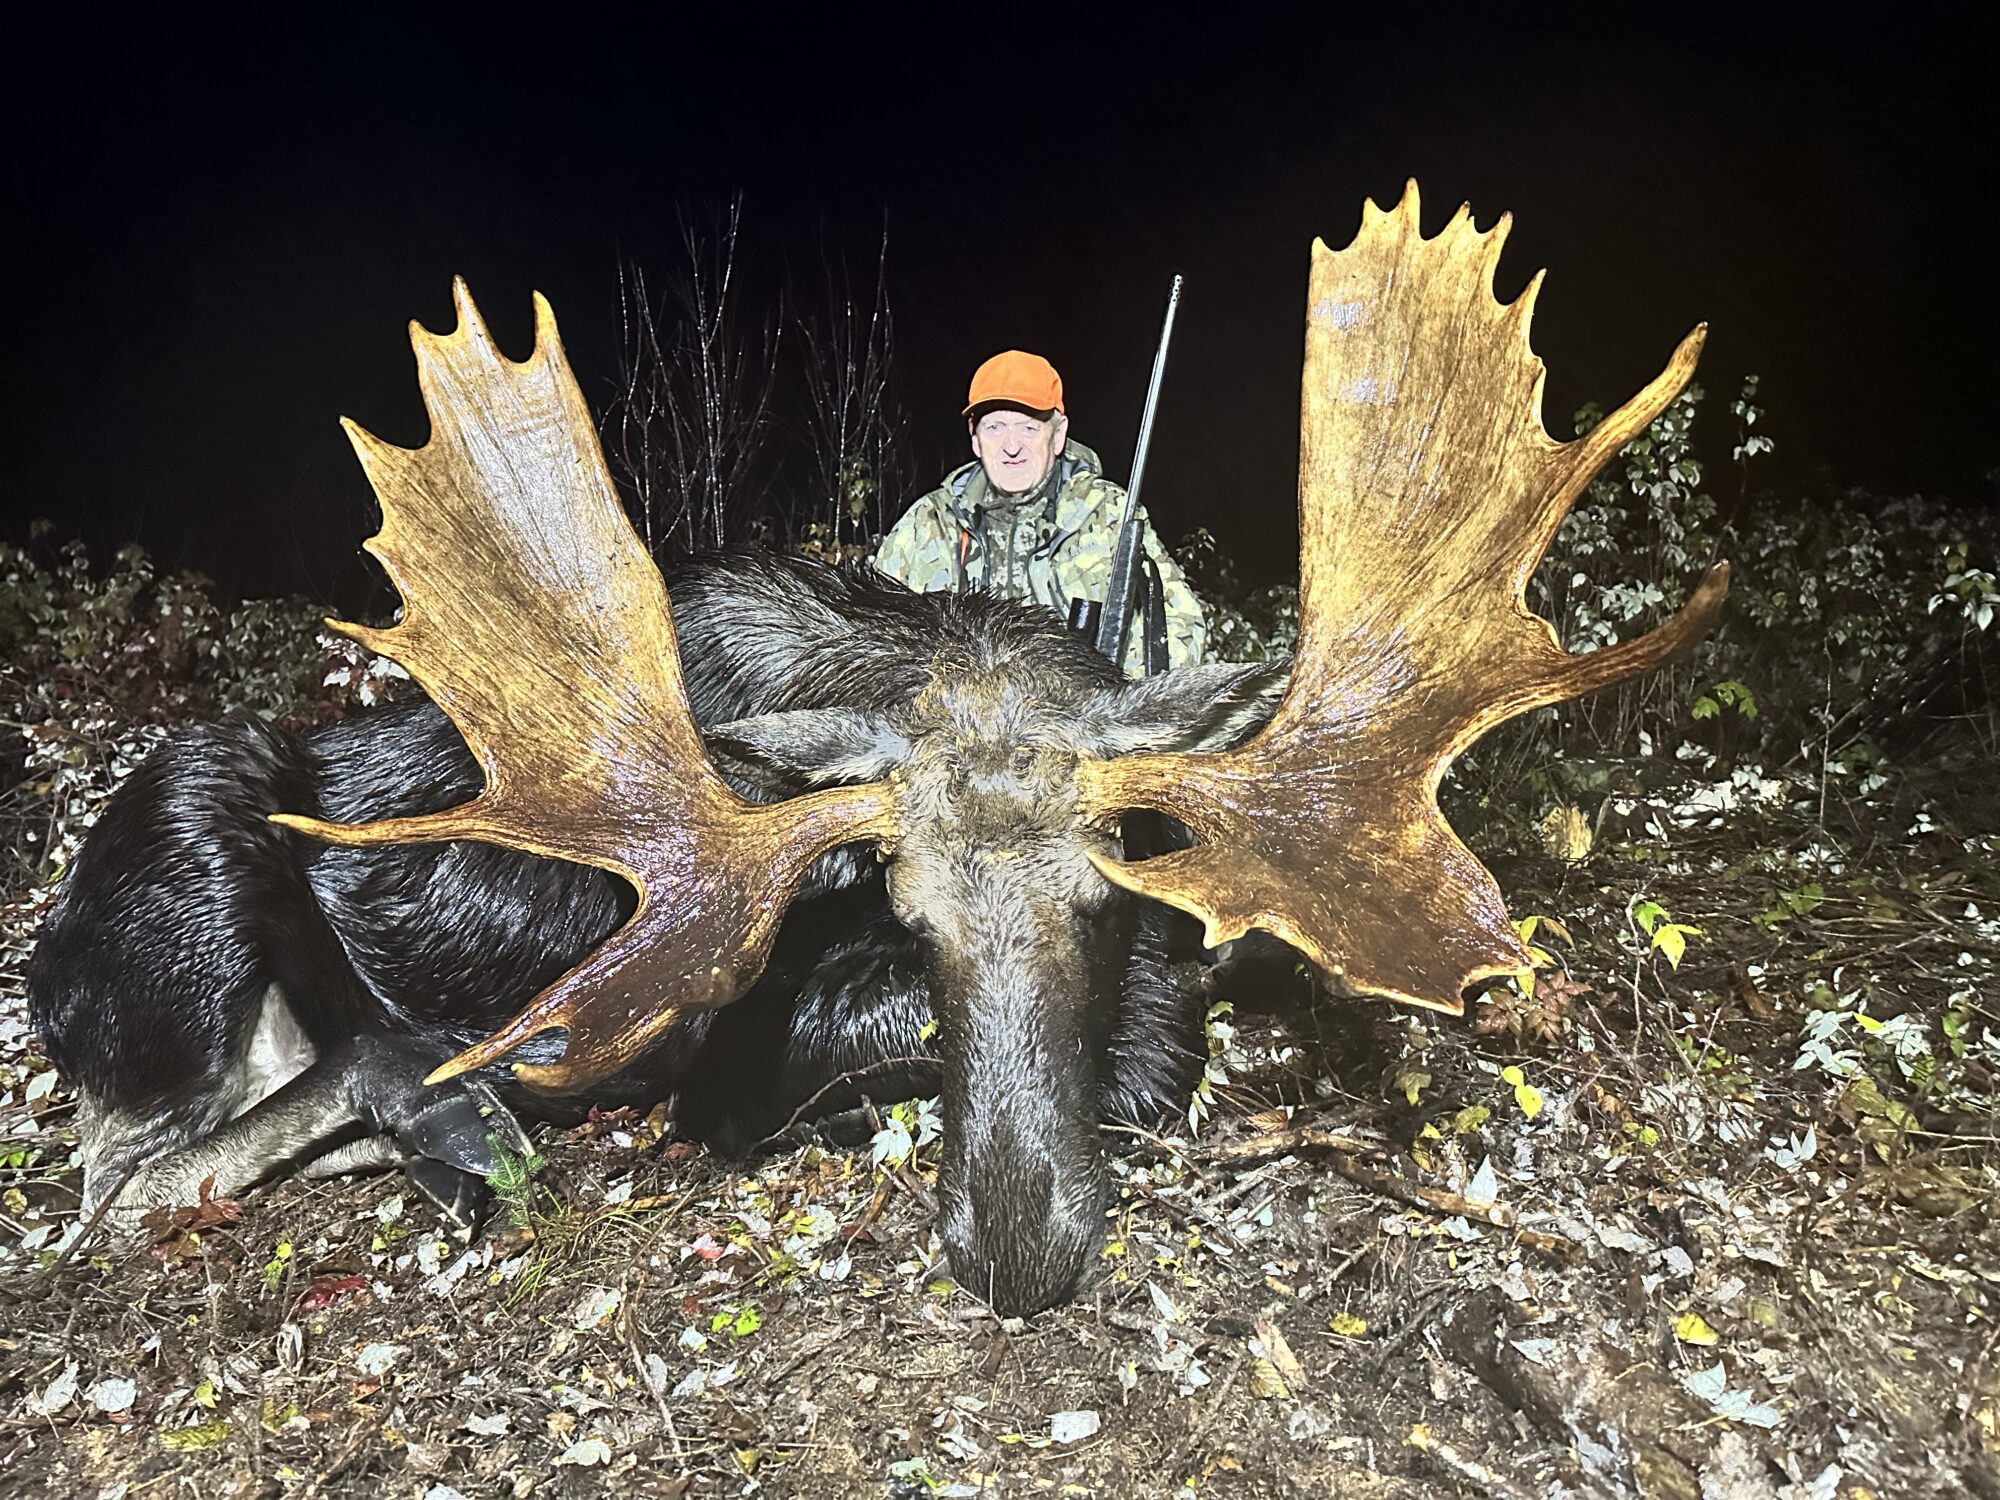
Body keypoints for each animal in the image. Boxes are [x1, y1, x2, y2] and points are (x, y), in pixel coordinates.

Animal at [27, 184, 1727, 1316]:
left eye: (1102, 901)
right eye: (907, 915)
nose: (1021, 1251)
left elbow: (1163, 1037)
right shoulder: (716, 1019)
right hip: (186, 865)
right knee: (123, 1187)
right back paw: (464, 1116)